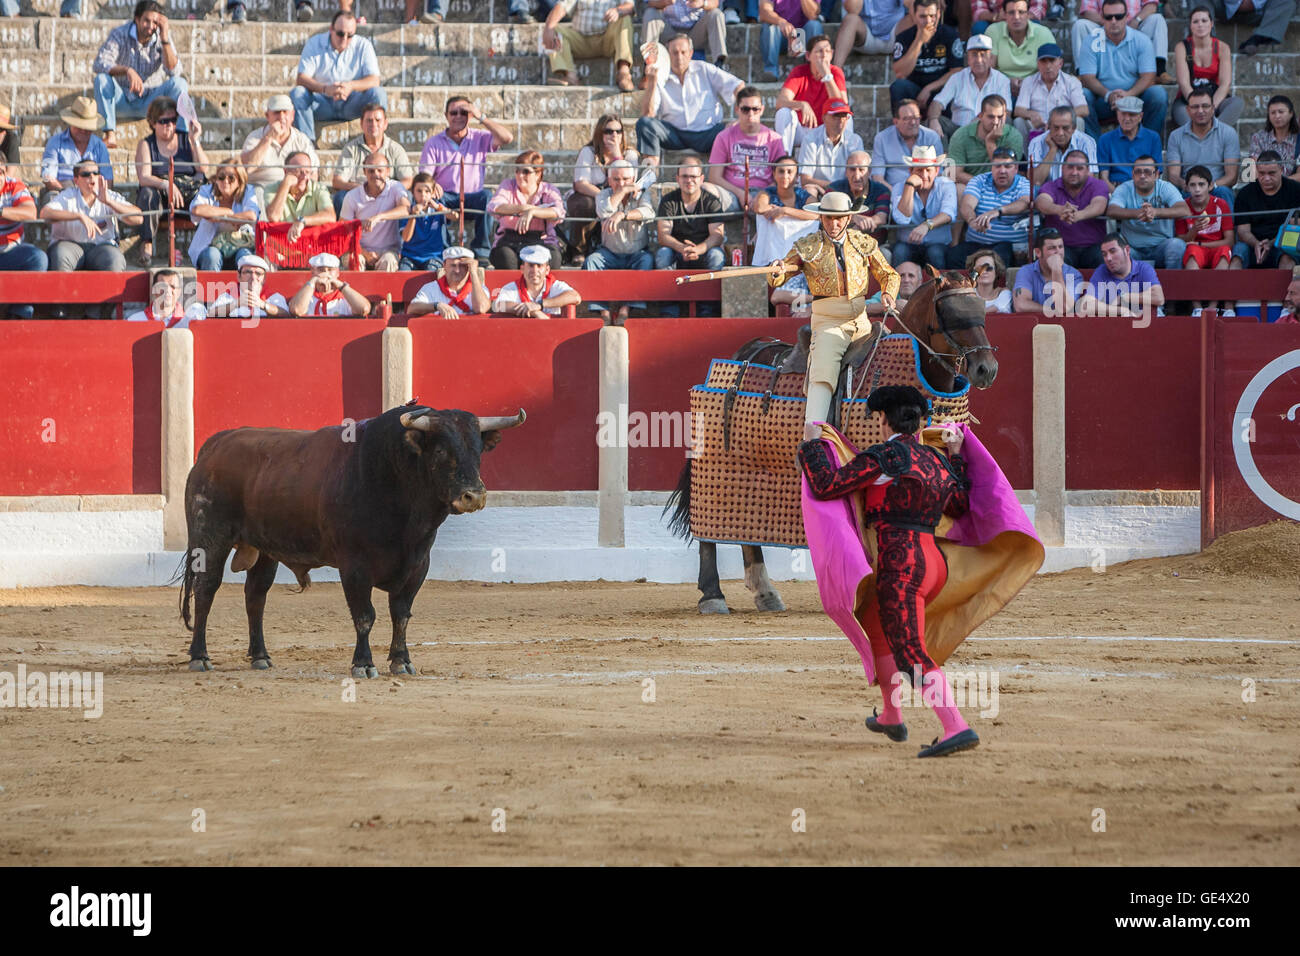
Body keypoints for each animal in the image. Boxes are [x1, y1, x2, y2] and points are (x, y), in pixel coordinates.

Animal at [177, 404, 526, 677]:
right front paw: (364, 664)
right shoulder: (354, 566)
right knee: (206, 590)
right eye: (440, 451)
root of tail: (215, 445)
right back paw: (200, 657)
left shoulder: (418, 565)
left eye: (477, 451)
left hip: (265, 549)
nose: (474, 496)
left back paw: (260, 657)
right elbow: (364, 616)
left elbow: (401, 614)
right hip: (210, 537)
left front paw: (402, 662)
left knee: (255, 595)